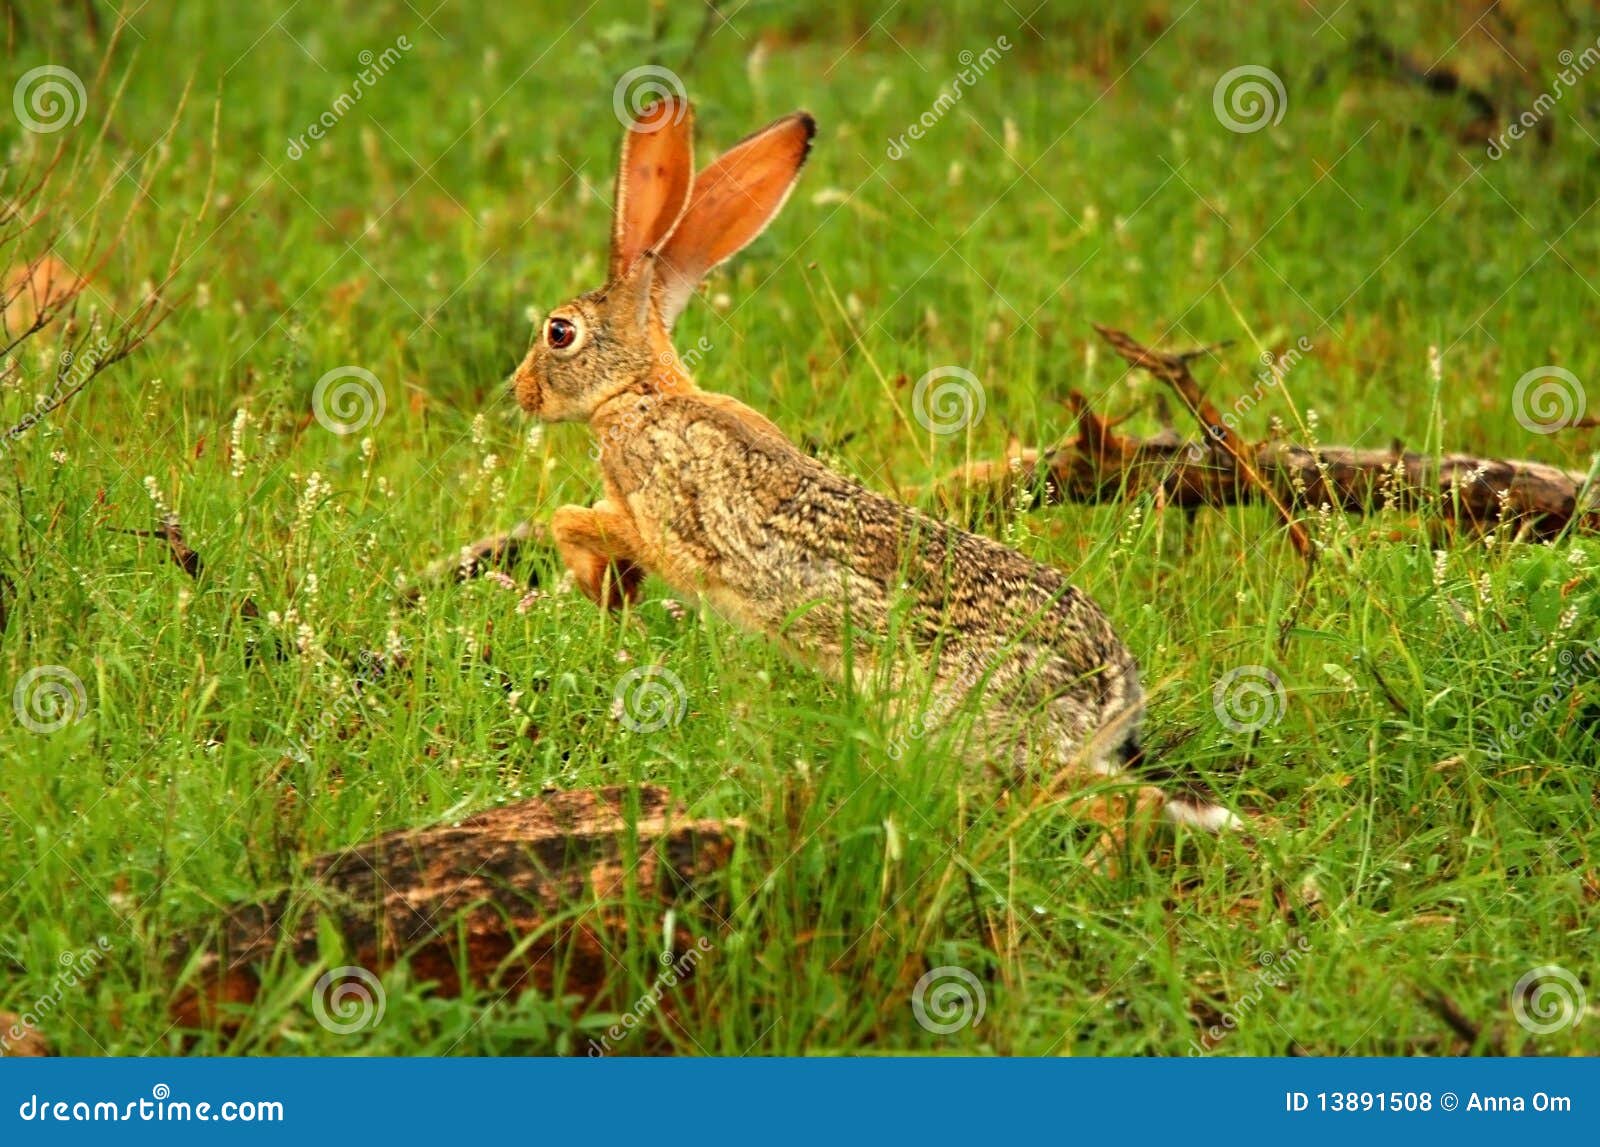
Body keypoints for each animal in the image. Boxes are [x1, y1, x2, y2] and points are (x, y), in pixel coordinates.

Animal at [512, 96, 1238, 833]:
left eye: (559, 332)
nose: (520, 391)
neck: (639, 392)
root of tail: (1115, 698)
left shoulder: (659, 522)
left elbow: (574, 518)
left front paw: (603, 587)